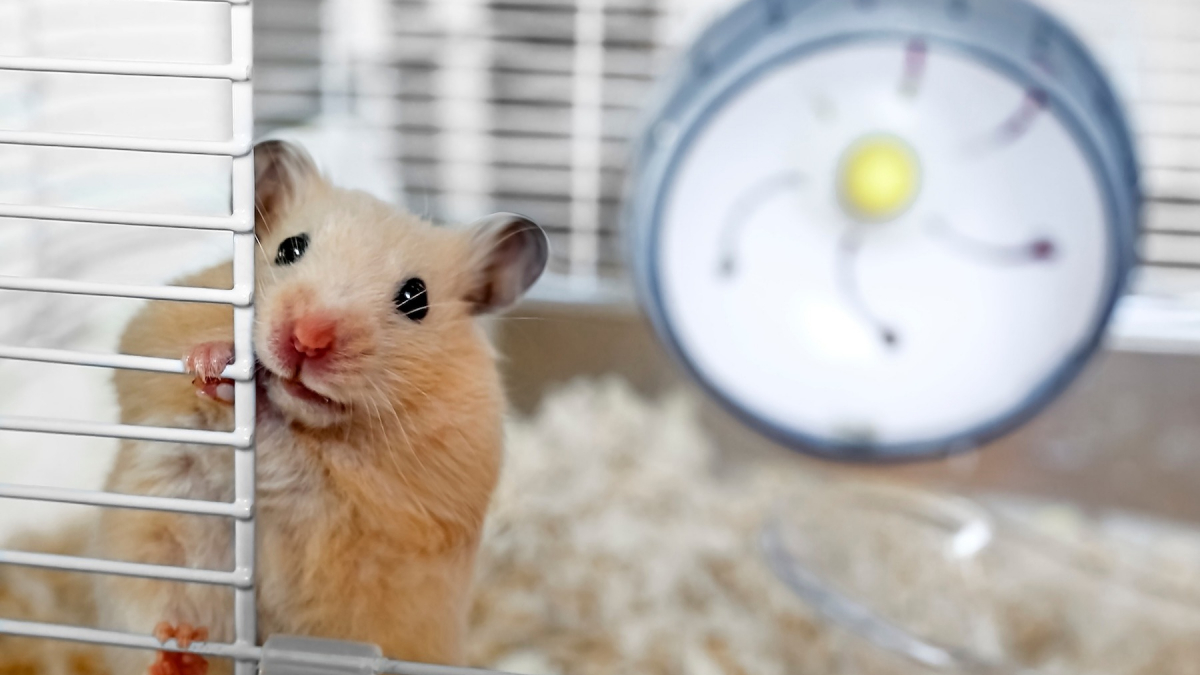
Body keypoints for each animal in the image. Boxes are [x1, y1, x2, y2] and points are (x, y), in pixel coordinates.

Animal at [95, 139, 548, 675]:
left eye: (416, 299)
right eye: (289, 248)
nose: (306, 341)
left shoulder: (408, 496)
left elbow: (301, 462)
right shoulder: (151, 358)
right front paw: (213, 364)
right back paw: (179, 650)